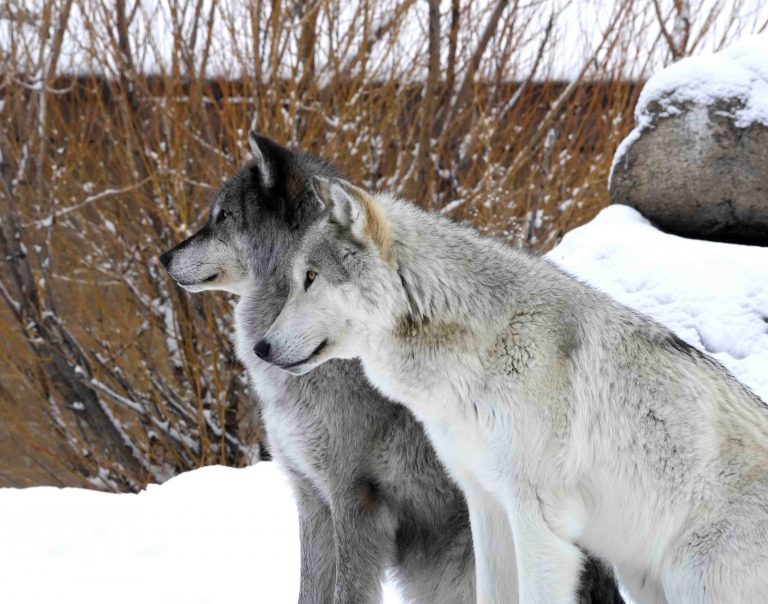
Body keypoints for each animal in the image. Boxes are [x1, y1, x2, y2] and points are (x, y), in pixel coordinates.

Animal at [258, 176, 768, 604]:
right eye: (296, 279)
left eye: (310, 278)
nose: (261, 347)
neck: (478, 345)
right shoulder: (486, 505)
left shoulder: (540, 523)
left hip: (693, 580)